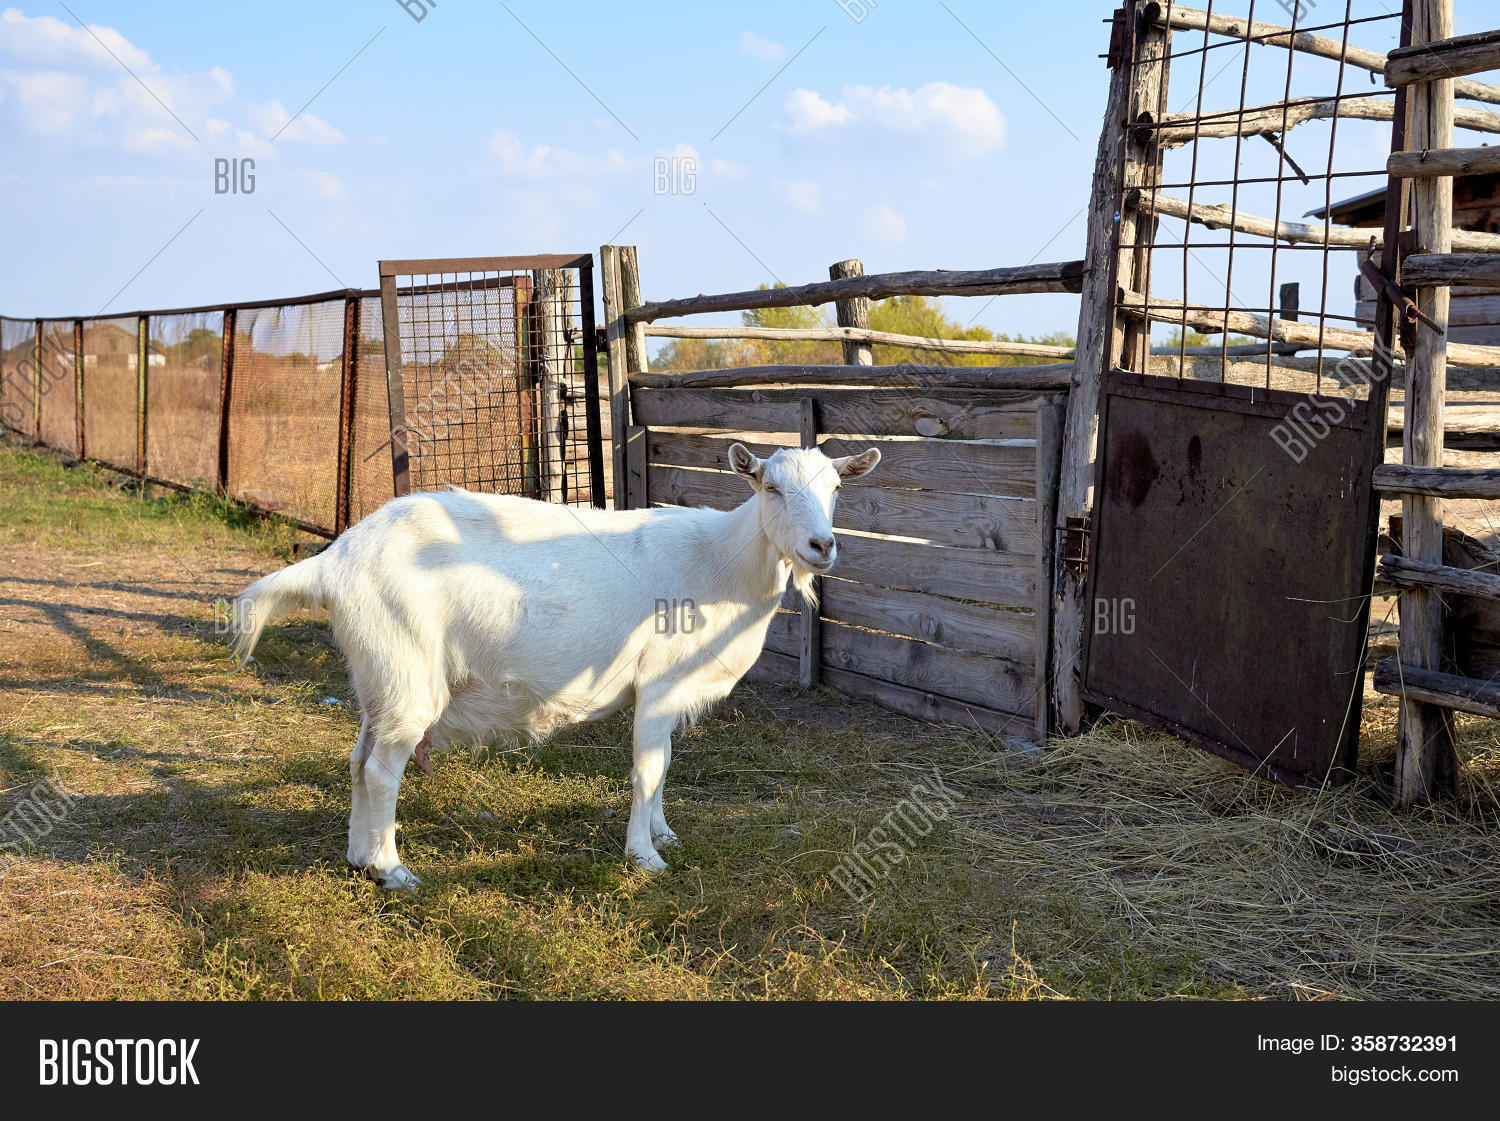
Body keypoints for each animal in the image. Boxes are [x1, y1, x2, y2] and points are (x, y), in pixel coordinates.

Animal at [231, 442, 880, 889]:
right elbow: (648, 769)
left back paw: (357, 855)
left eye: (835, 489)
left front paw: (663, 831)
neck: (722, 564)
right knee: (382, 770)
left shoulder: (668, 695)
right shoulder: (659, 682)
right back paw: (392, 870)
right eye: (770, 487)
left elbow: (665, 765)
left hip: (380, 678)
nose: (822, 546)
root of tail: (334, 560)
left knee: (357, 759)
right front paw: (646, 857)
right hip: (408, 674)